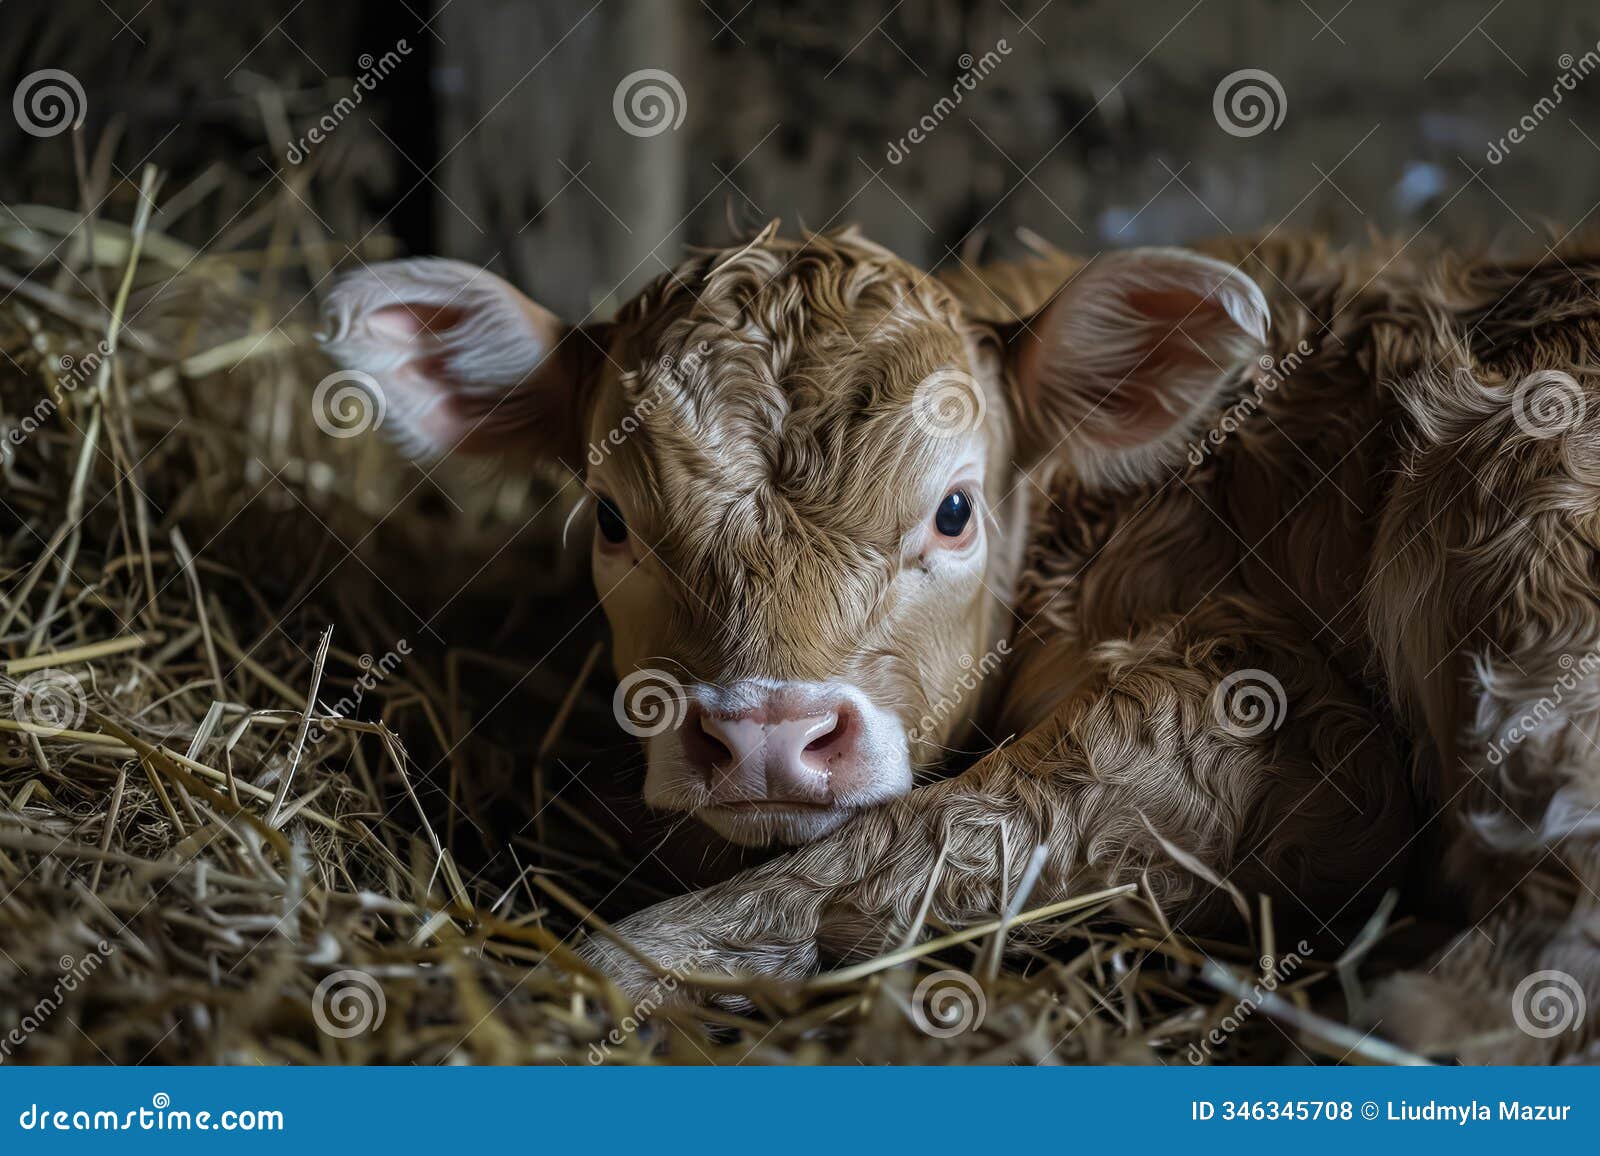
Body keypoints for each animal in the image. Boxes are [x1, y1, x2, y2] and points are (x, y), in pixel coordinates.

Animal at [320, 223, 1600, 1062]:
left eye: (951, 510)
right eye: (611, 517)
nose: (769, 736)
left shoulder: (1276, 709)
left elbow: (921, 834)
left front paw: (577, 973)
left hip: (1525, 533)